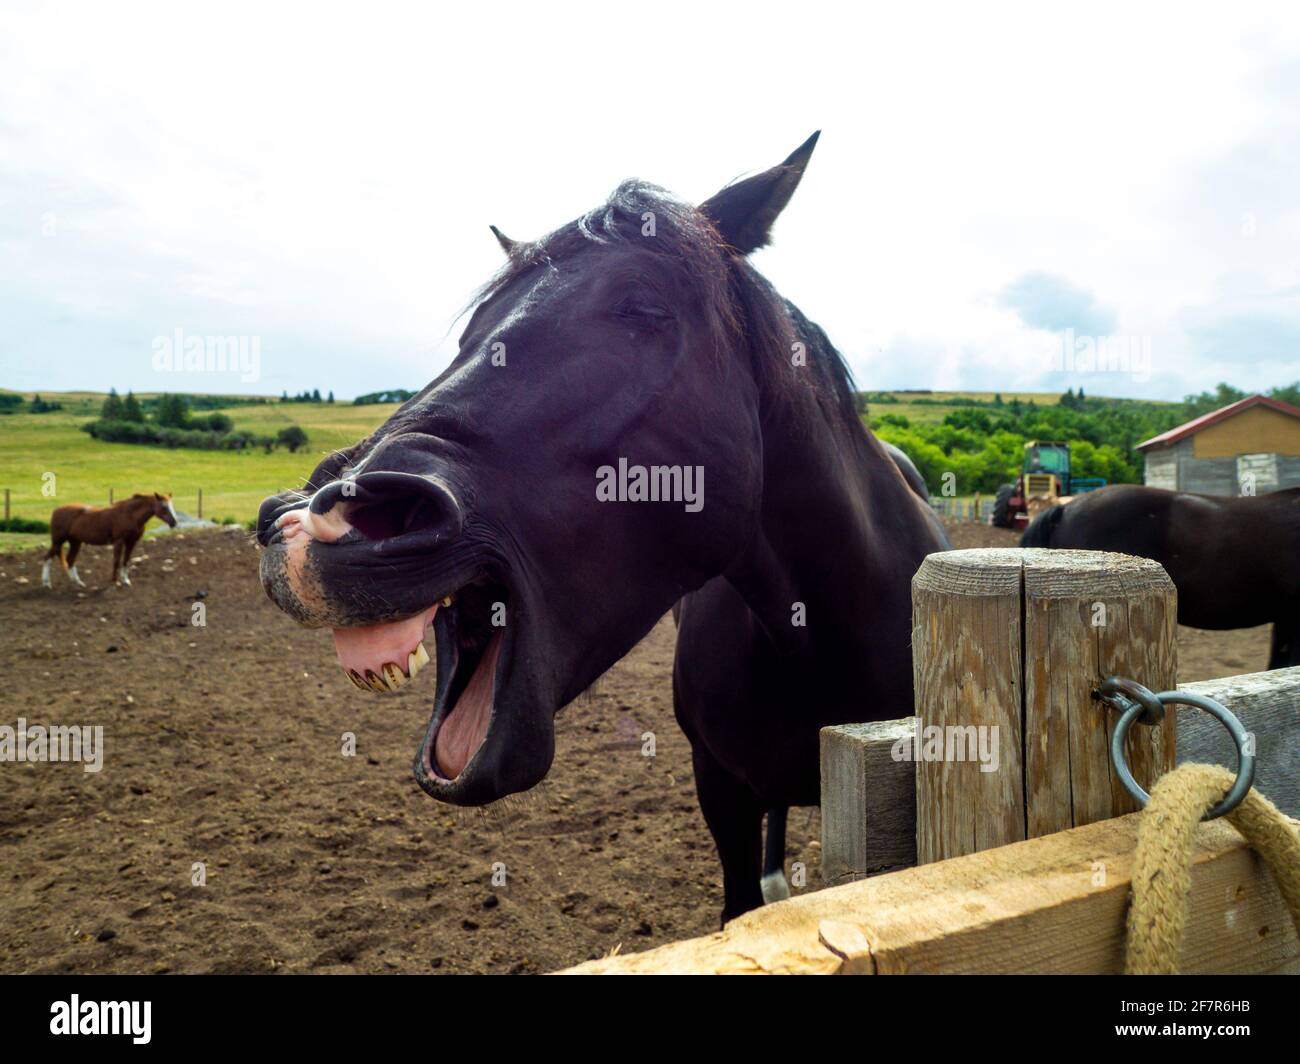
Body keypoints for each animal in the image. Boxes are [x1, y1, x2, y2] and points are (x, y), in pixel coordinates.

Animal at [43, 492, 178, 589]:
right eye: (164, 507)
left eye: (171, 506)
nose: (174, 522)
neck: (130, 515)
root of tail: (57, 510)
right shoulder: (119, 541)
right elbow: (116, 561)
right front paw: (115, 581)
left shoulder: (131, 542)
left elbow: (126, 560)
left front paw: (126, 581)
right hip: (58, 541)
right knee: (47, 558)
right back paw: (46, 584)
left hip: (75, 542)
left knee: (70, 560)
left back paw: (78, 583)